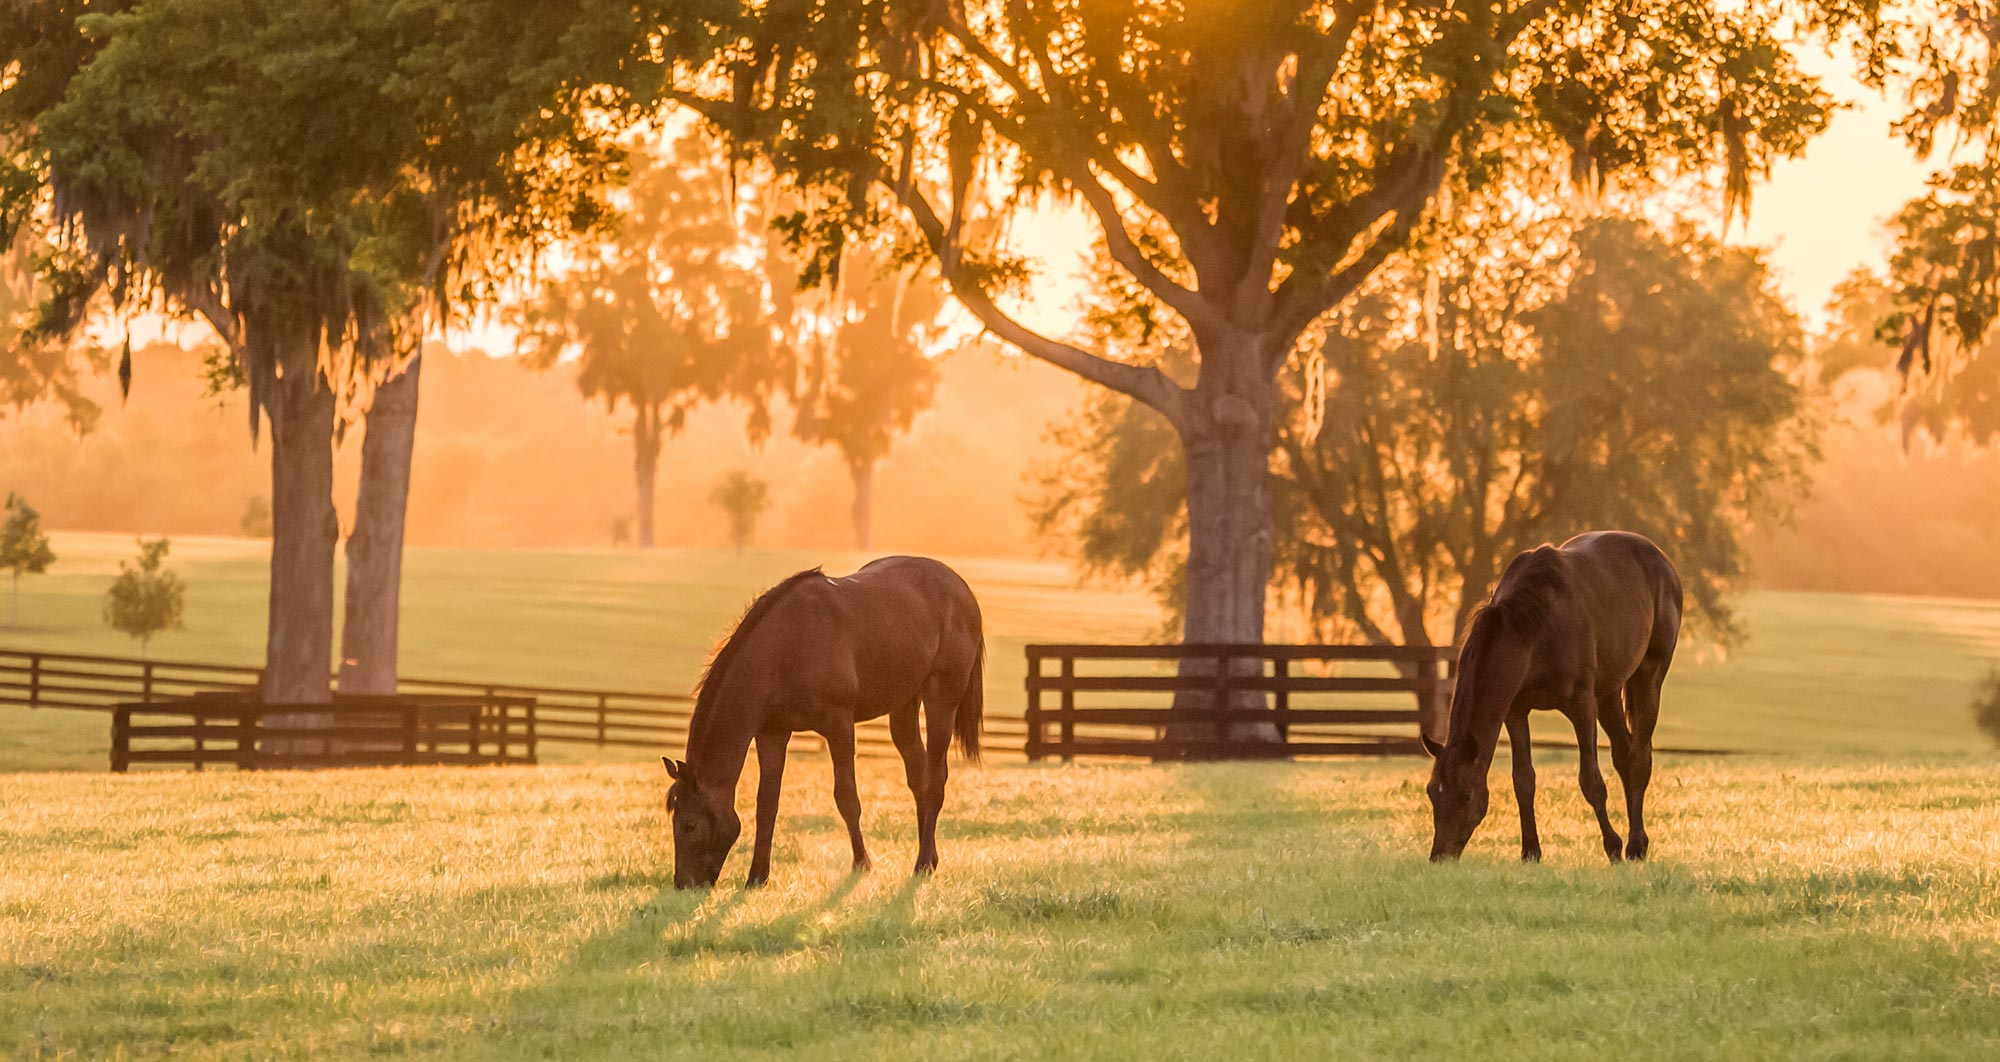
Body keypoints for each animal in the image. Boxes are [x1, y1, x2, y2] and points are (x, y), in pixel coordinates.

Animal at [663, 556, 985, 889]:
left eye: (689, 824)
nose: (684, 884)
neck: (786, 648)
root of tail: (961, 588)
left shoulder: (838, 724)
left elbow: (846, 797)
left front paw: (861, 863)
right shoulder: (772, 733)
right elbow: (767, 804)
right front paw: (757, 876)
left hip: (941, 700)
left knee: (935, 778)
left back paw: (922, 864)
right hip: (904, 706)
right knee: (918, 776)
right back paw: (929, 858)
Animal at [1422, 531, 1682, 863]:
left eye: (1466, 795)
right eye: (1432, 791)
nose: (1440, 856)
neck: (1532, 630)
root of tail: (1662, 561)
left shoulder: (1582, 706)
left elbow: (1591, 781)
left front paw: (1612, 846)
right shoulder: (1515, 711)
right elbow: (1523, 780)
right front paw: (1530, 851)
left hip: (1648, 674)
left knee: (1638, 759)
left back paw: (1635, 846)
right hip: (1609, 693)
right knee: (1624, 755)